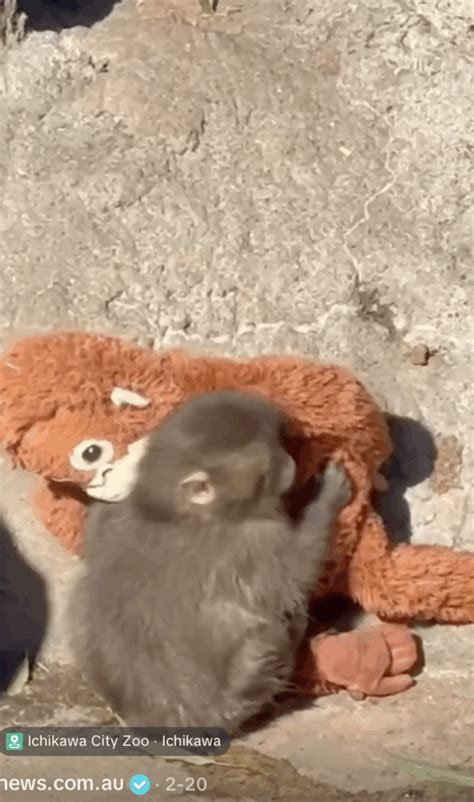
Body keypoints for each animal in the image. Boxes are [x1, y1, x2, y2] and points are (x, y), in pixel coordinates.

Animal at [71, 390, 351, 735]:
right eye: (268, 465)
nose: (290, 462)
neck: (178, 511)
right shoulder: (254, 542)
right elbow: (294, 572)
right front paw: (327, 496)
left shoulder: (113, 511)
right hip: (238, 691)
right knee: (267, 634)